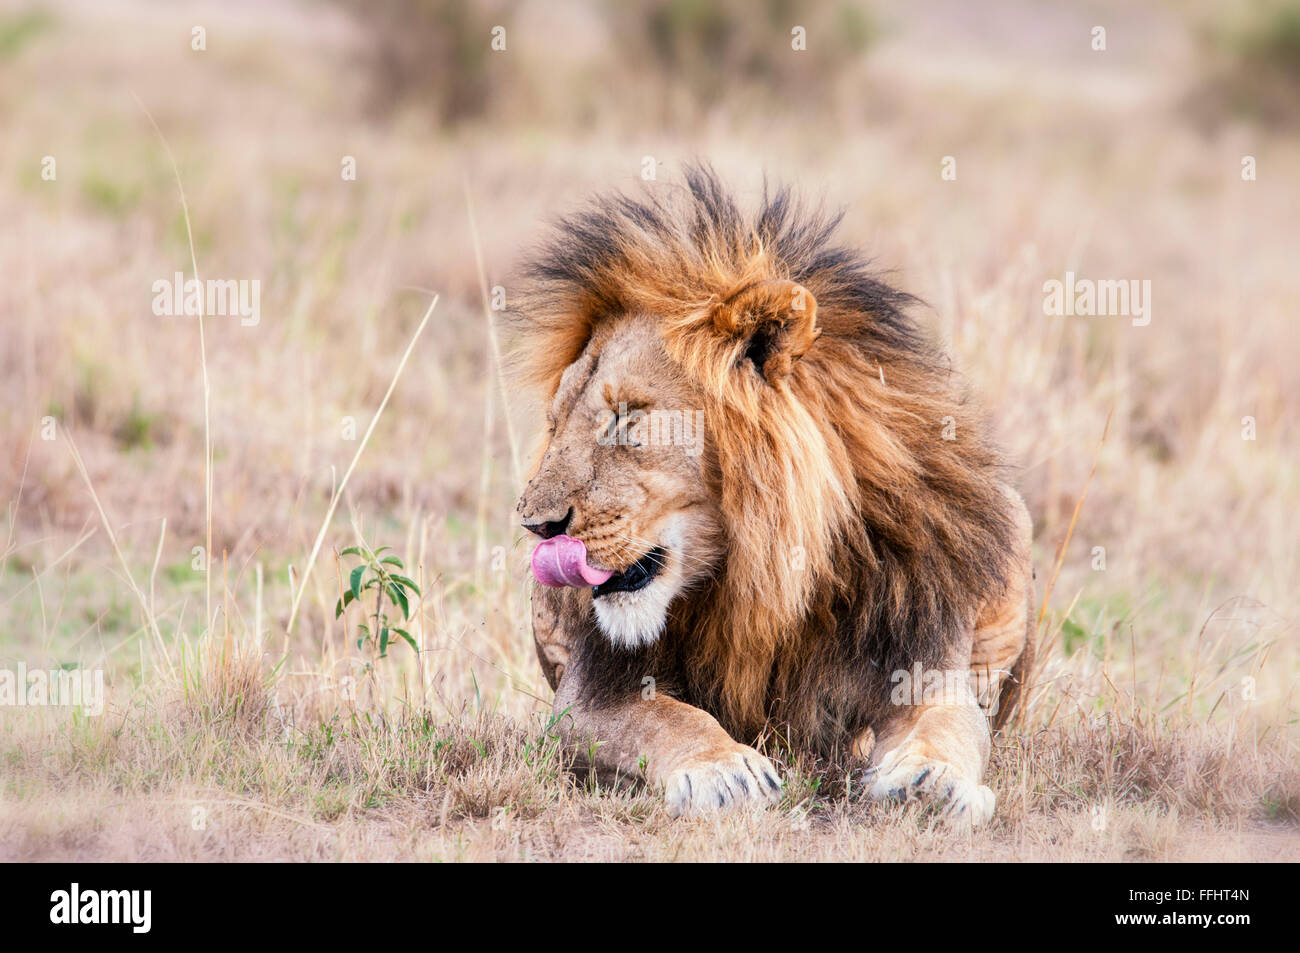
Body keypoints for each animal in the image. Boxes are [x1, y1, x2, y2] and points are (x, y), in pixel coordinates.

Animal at [507, 165, 1034, 826]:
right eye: (555, 424)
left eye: (625, 417)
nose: (535, 526)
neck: (759, 576)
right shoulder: (587, 696)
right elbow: (666, 718)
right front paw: (725, 773)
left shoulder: (924, 663)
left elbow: (948, 725)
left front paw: (930, 781)